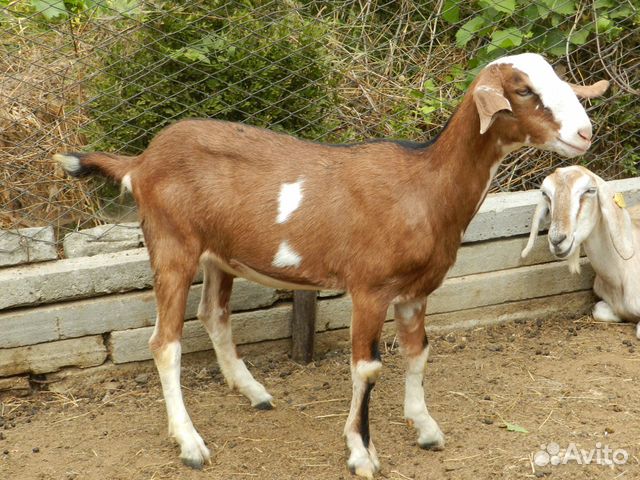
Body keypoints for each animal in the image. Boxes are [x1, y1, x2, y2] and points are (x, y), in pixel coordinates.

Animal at [54, 53, 608, 478]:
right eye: (523, 89)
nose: (584, 132)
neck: (423, 186)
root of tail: (141, 162)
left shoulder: (416, 291)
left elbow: (418, 353)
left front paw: (425, 427)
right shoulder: (370, 288)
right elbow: (367, 367)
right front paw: (361, 452)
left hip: (219, 254)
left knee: (213, 315)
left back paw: (253, 392)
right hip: (172, 244)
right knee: (164, 343)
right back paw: (190, 443)